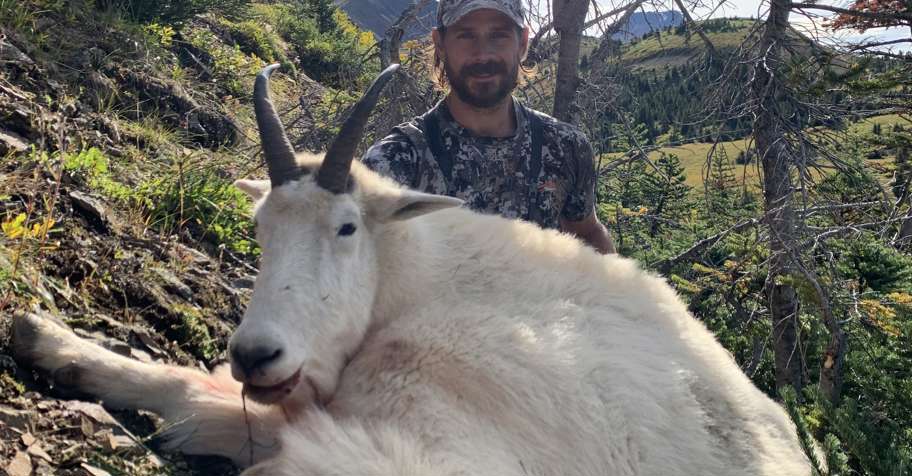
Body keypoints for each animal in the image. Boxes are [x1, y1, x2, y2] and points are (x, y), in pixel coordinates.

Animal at [14, 64, 813, 476]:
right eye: (260, 228)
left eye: (345, 227)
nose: (256, 355)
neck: (421, 288)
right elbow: (188, 387)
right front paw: (45, 336)